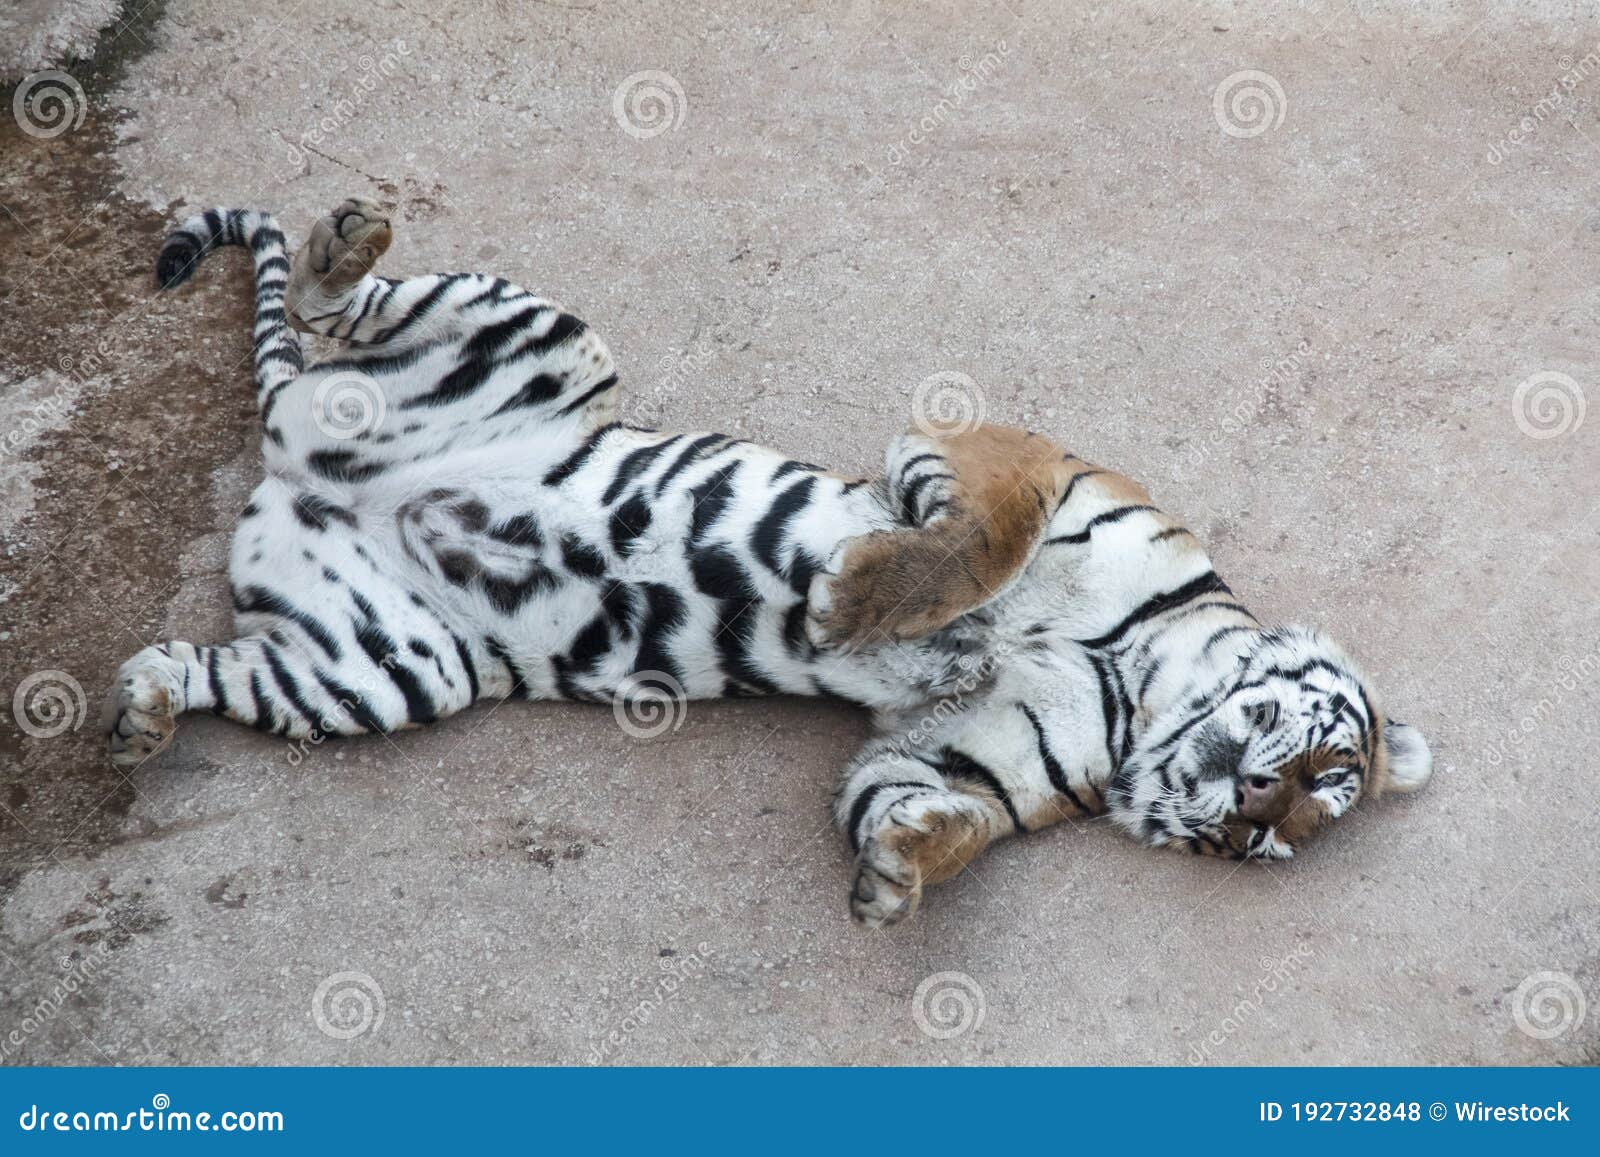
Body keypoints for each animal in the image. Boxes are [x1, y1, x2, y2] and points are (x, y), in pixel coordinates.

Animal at [103, 198, 1434, 927]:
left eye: (1278, 838)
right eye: (1317, 769)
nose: (1251, 805)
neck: (1140, 690)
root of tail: (294, 461)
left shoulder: (950, 752)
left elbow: (935, 810)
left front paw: (898, 876)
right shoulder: (1006, 453)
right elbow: (971, 548)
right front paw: (850, 599)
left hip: (381, 668)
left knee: (204, 661)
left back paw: (135, 715)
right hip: (535, 337)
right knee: (337, 300)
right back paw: (346, 235)